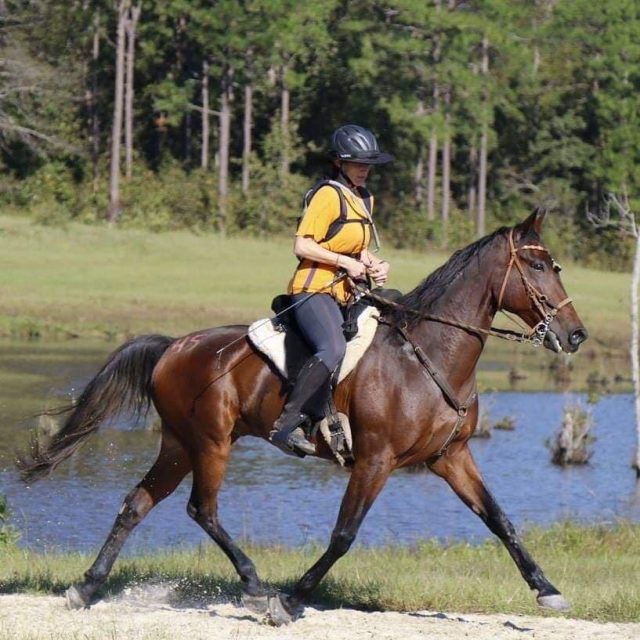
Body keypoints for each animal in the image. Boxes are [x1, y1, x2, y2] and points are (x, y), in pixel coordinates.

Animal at [18, 209, 588, 625]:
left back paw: (86, 586)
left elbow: (500, 520)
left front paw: (547, 590)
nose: (576, 334)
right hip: (210, 442)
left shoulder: (451, 457)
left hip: (179, 444)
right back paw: (254, 586)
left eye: (555, 266)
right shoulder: (375, 460)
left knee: (138, 503)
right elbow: (343, 534)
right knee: (202, 510)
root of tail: (171, 347)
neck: (426, 355)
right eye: (539, 268)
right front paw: (290, 602)